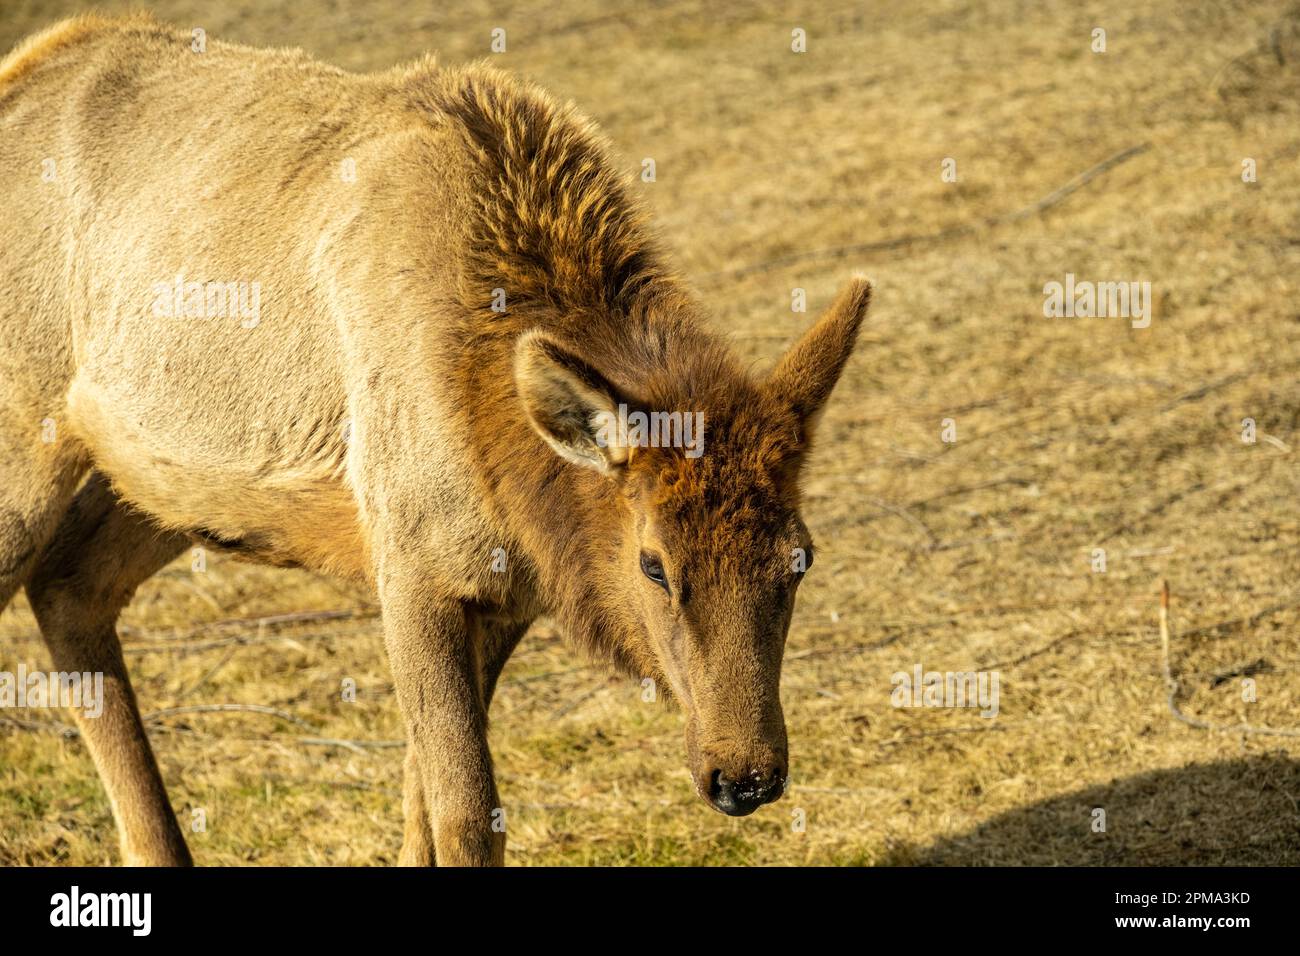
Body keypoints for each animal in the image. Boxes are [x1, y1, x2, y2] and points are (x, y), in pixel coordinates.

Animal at [0, 14, 872, 865]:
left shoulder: (505, 590)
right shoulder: (411, 566)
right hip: (30, 443)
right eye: (653, 564)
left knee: (69, 582)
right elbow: (464, 817)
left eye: (800, 557)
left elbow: (422, 806)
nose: (745, 776)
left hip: (160, 484)